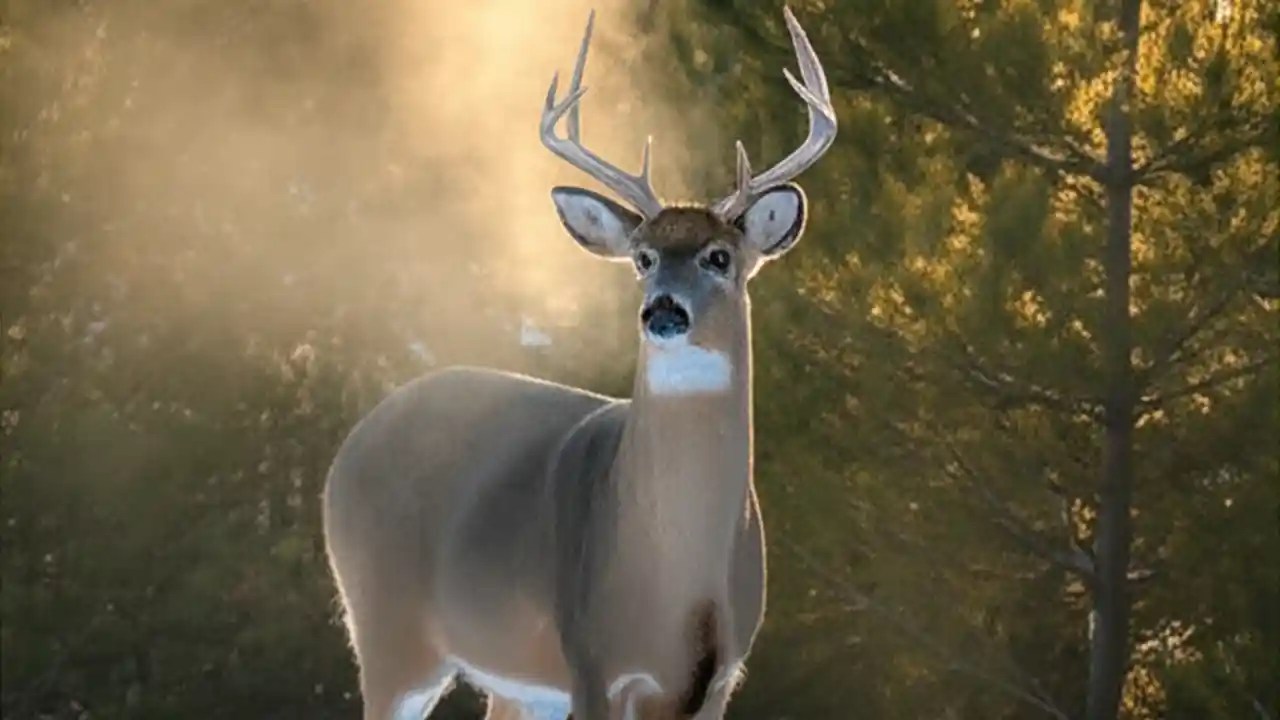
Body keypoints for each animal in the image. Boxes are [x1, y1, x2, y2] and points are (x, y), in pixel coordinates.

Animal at [322, 6, 836, 720]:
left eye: (720, 257)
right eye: (643, 258)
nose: (662, 312)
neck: (678, 579)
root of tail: (348, 451)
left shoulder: (723, 676)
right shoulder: (592, 658)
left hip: (513, 678)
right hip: (390, 630)